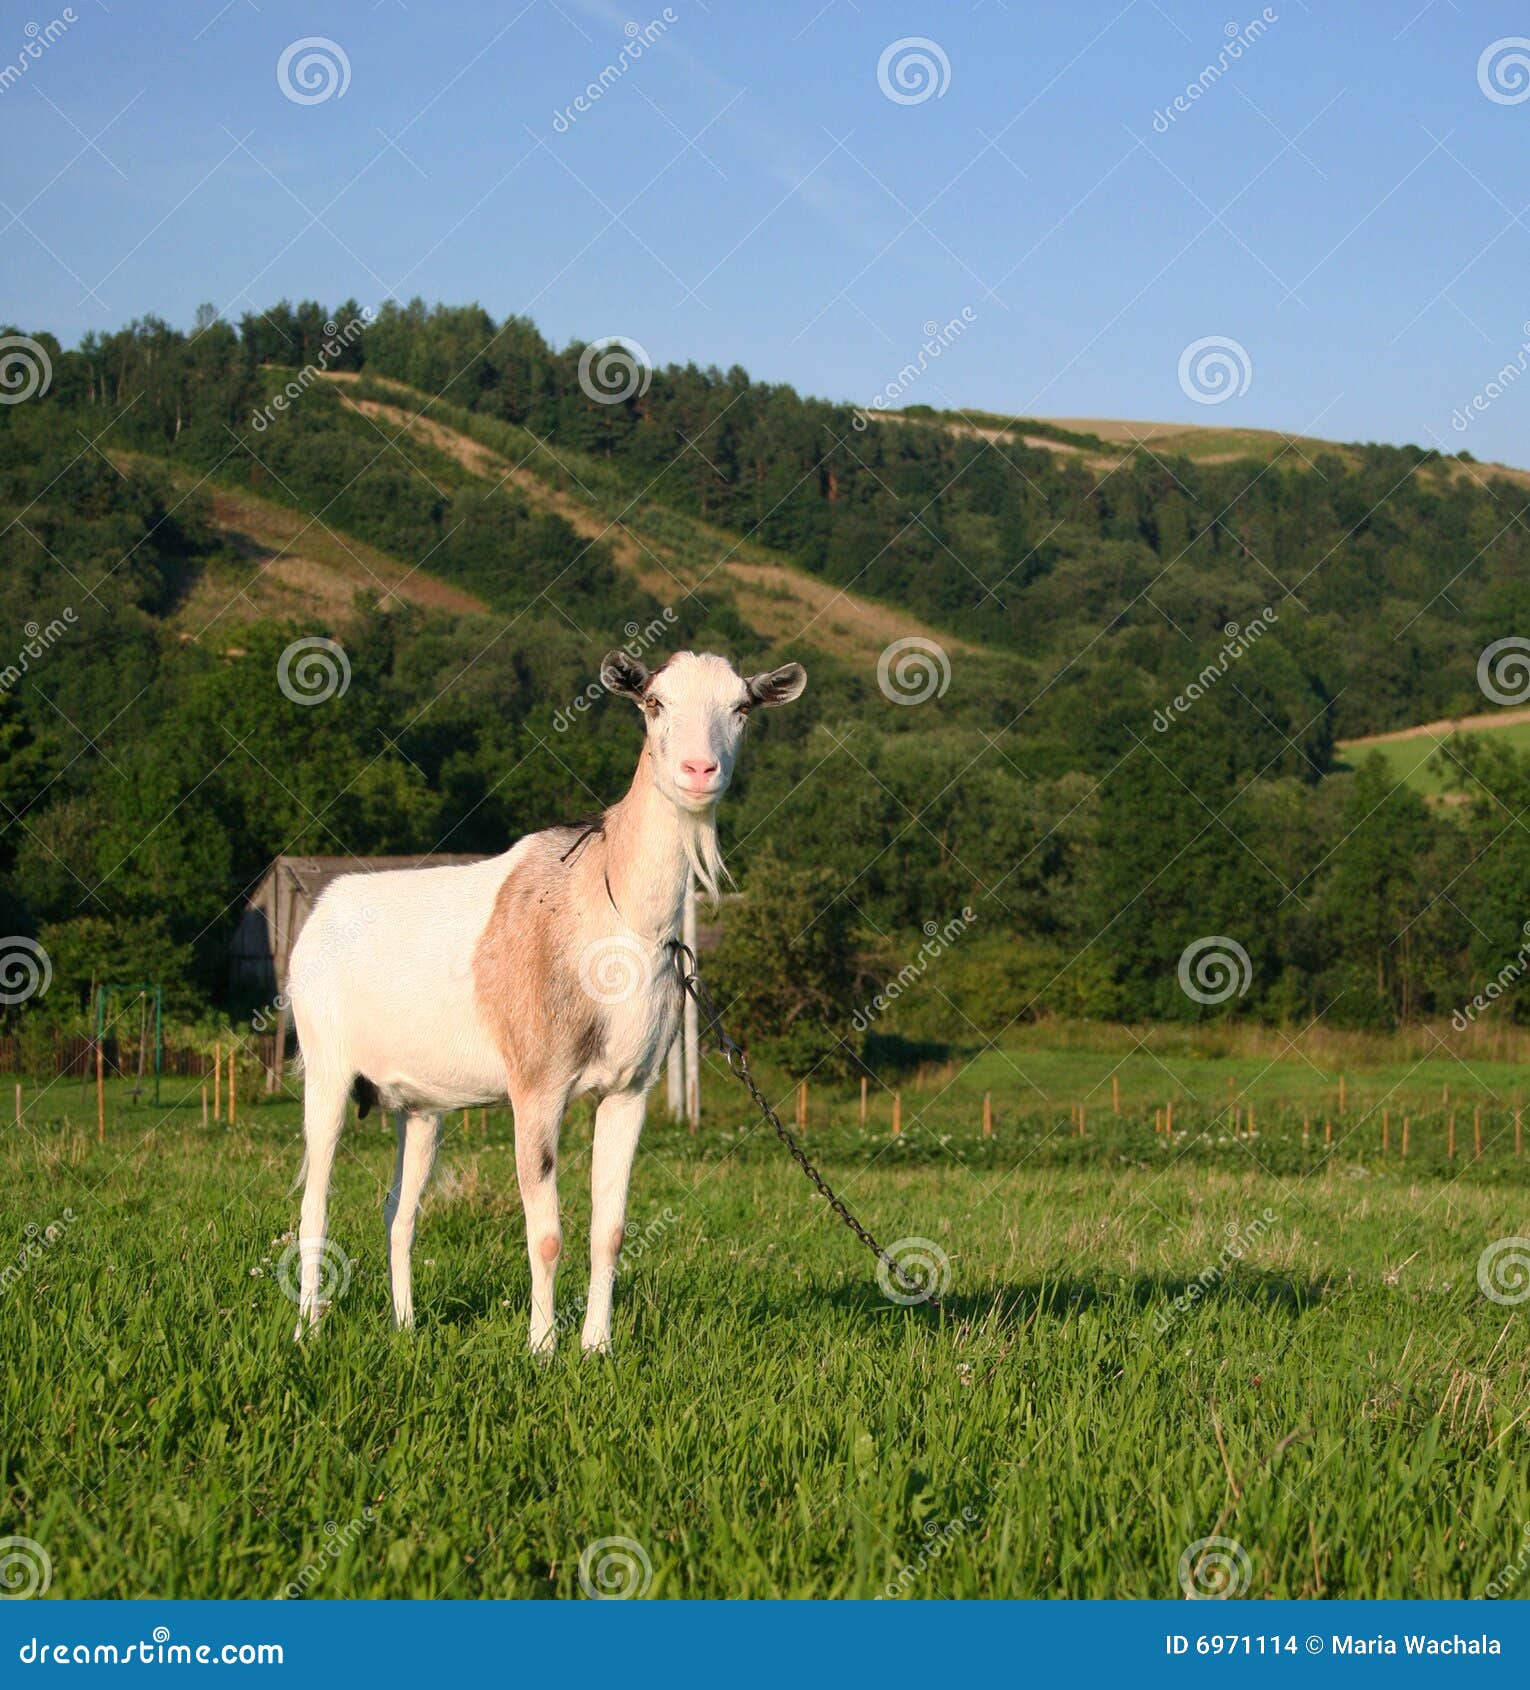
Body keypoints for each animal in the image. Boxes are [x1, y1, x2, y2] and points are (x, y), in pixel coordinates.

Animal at [287, 649, 807, 1353]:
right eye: (655, 704)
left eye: (742, 708)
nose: (700, 771)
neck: (613, 911)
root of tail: (320, 914)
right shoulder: (537, 1084)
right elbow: (547, 1233)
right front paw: (541, 1348)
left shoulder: (631, 1088)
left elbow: (608, 1231)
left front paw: (597, 1346)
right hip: (327, 1064)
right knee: (314, 1199)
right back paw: (307, 1331)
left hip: (421, 1105)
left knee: (400, 1208)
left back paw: (406, 1324)